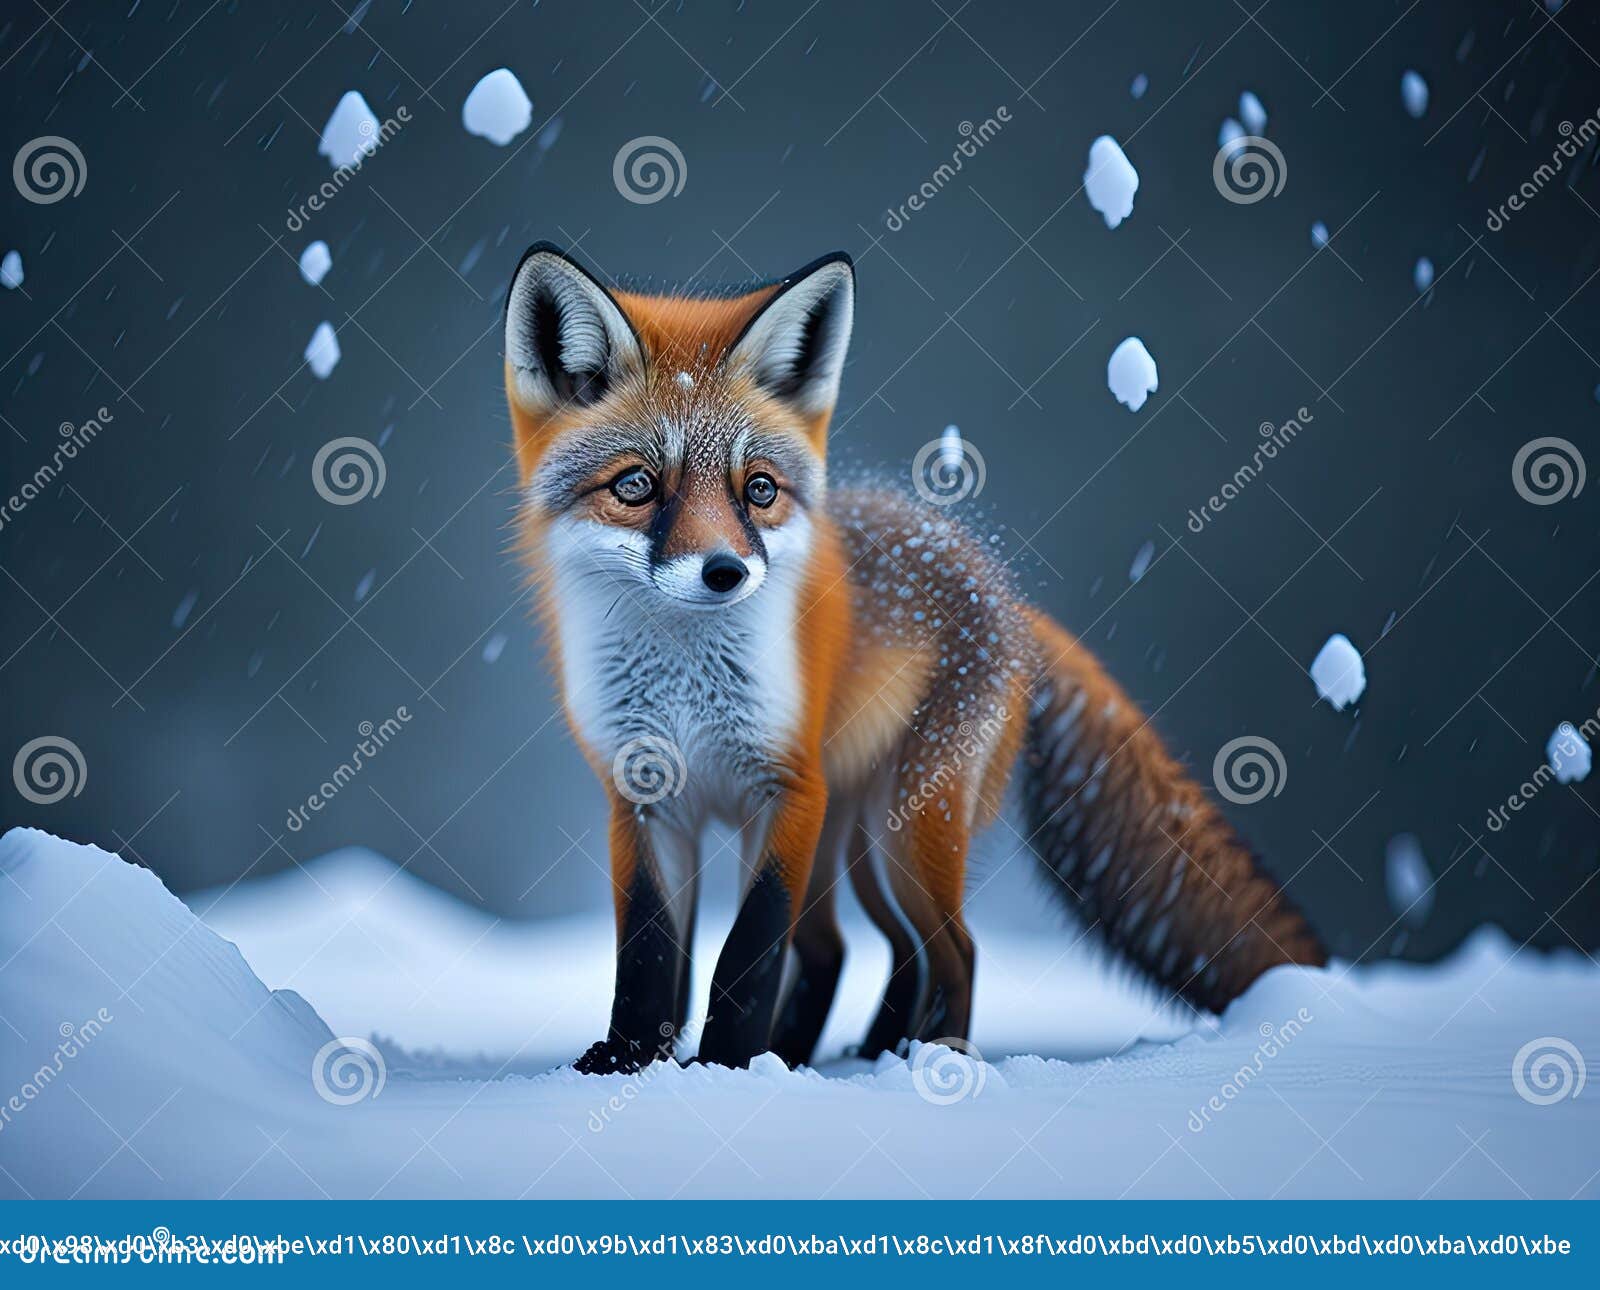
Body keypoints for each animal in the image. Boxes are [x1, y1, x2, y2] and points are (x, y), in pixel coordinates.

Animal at [501, 242, 1326, 1074]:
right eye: (638, 485)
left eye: (758, 490)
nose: (725, 572)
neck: (682, 685)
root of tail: (1006, 598)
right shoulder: (644, 798)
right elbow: (649, 952)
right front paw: (629, 1063)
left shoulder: (788, 792)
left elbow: (748, 951)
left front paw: (726, 1068)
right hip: (862, 843)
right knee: (860, 949)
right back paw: (838, 1054)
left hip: (909, 829)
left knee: (953, 949)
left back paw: (934, 1059)